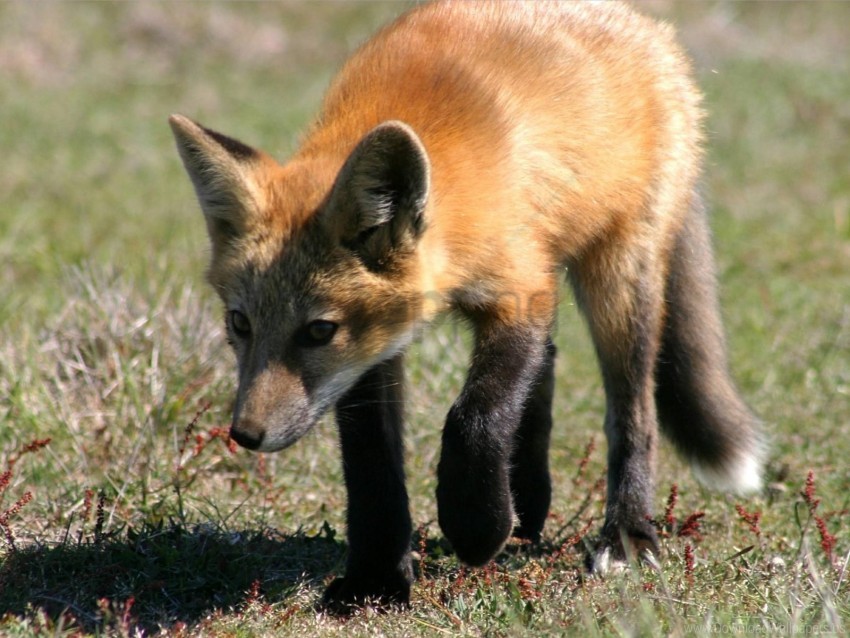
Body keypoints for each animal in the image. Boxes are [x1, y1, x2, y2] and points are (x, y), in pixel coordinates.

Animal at [169, 0, 763, 609]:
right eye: (239, 323)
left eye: (317, 330)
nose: (245, 434)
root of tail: (648, 28)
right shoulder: (375, 347)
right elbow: (371, 463)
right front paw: (375, 580)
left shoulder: (521, 291)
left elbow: (475, 416)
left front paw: (476, 525)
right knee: (548, 362)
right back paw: (530, 497)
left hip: (619, 278)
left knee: (634, 410)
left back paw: (626, 531)